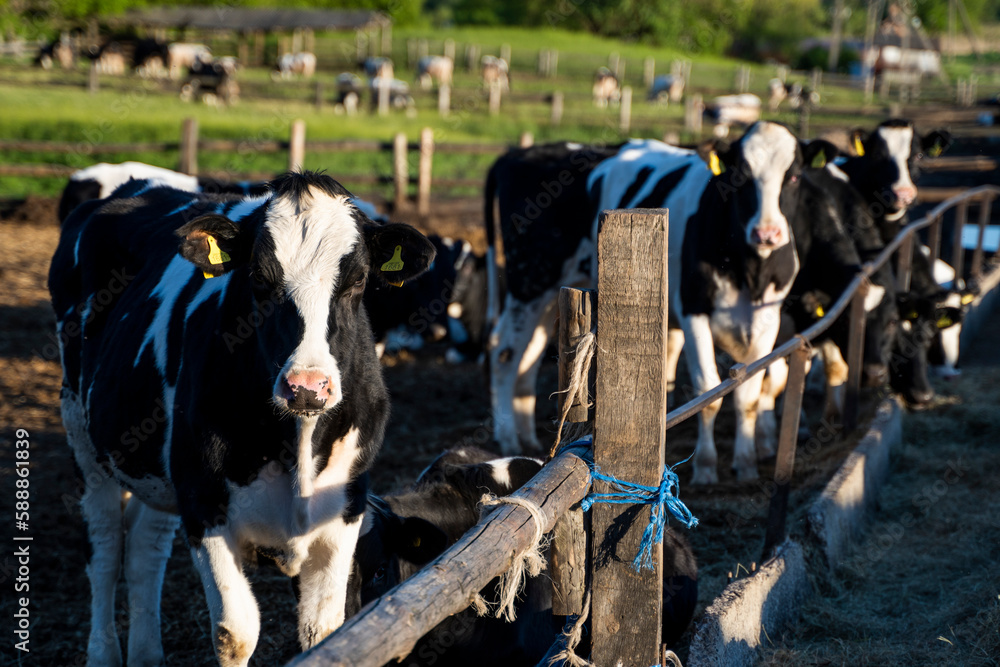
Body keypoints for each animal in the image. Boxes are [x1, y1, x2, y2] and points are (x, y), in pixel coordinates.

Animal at [49, 171, 436, 666]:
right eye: (258, 277)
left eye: (358, 281)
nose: (307, 386)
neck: (295, 446)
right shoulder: (204, 503)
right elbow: (236, 633)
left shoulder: (346, 508)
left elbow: (324, 631)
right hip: (82, 434)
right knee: (102, 548)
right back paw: (103, 653)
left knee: (144, 548)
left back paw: (147, 653)